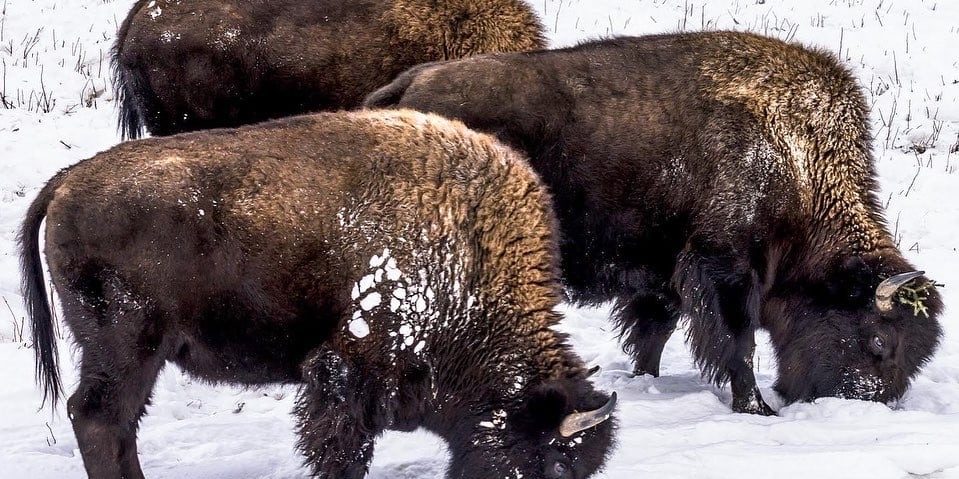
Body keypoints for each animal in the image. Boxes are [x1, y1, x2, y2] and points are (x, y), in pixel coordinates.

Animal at [20, 110, 616, 478]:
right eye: (557, 461)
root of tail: (68, 180)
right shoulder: (345, 374)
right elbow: (338, 451)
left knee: (117, 422)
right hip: (126, 345)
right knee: (99, 417)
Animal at [366, 31, 944, 414]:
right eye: (879, 342)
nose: (867, 404)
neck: (798, 157)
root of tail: (406, 89)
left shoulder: (665, 275)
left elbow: (653, 333)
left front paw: (643, 377)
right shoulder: (725, 268)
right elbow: (736, 344)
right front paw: (755, 407)